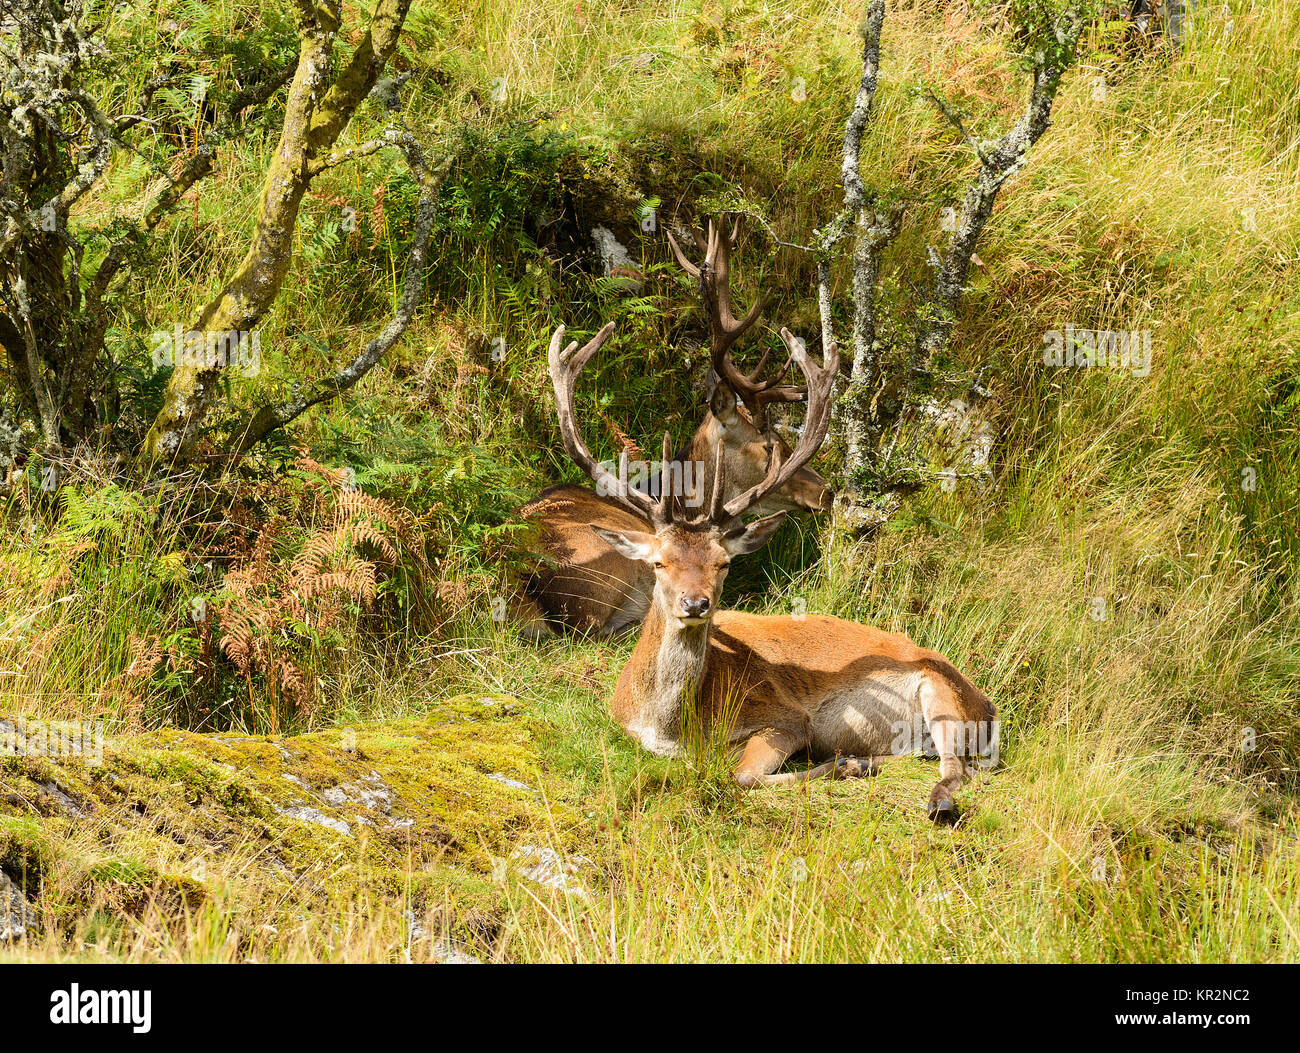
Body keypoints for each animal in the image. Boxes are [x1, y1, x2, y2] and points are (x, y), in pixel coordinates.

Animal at [546, 313, 998, 821]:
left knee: (958, 767)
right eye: (659, 562)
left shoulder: (784, 717)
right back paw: (865, 762)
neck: (667, 728)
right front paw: (848, 764)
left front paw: (835, 766)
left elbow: (741, 774)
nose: (696, 603)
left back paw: (930, 798)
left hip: (944, 695)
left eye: (723, 563)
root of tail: (989, 707)